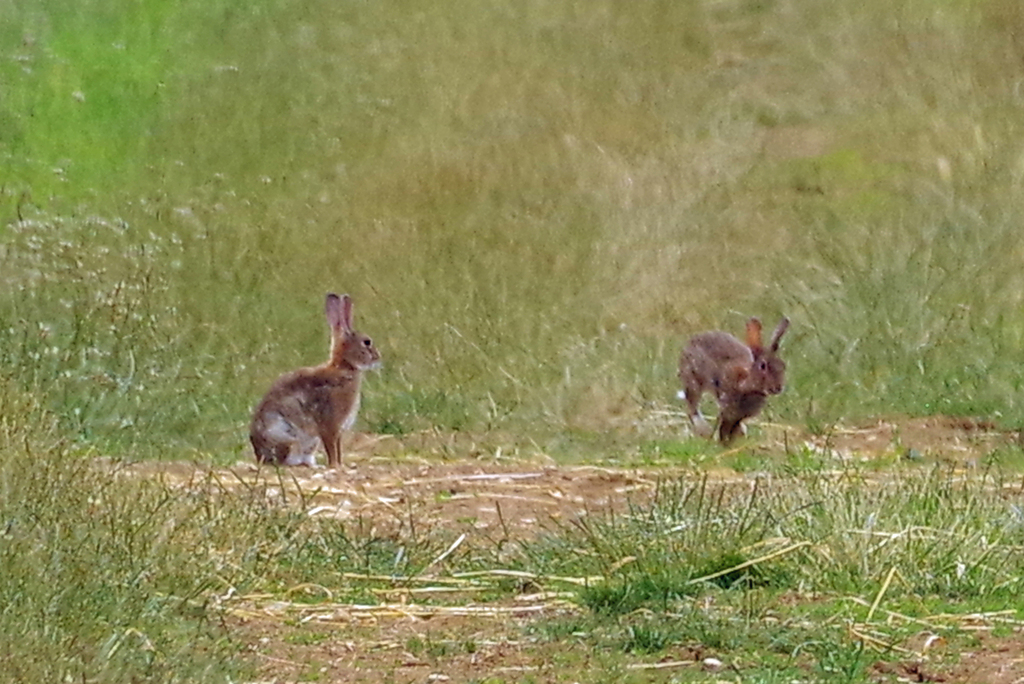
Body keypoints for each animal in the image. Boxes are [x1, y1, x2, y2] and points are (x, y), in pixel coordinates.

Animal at [250, 293, 381, 467]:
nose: (378, 358)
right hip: (287, 435)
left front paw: (339, 465)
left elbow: (338, 448)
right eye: (367, 342)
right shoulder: (330, 425)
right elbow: (332, 448)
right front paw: (335, 465)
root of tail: (260, 455)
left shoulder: (338, 431)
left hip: (310, 442)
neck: (344, 367)